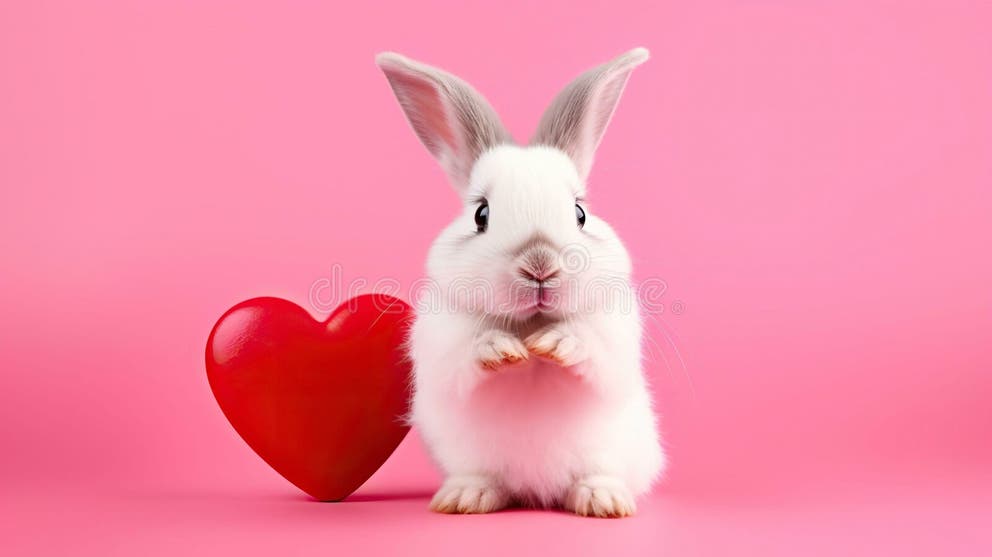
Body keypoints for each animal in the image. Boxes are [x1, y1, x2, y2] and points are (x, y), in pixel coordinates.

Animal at [376, 47, 664, 518]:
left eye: (580, 212)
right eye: (481, 214)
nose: (539, 265)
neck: (530, 323)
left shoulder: (615, 337)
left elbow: (595, 351)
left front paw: (558, 344)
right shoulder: (439, 342)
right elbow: (463, 358)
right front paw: (500, 350)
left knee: (598, 475)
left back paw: (602, 500)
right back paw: (466, 498)